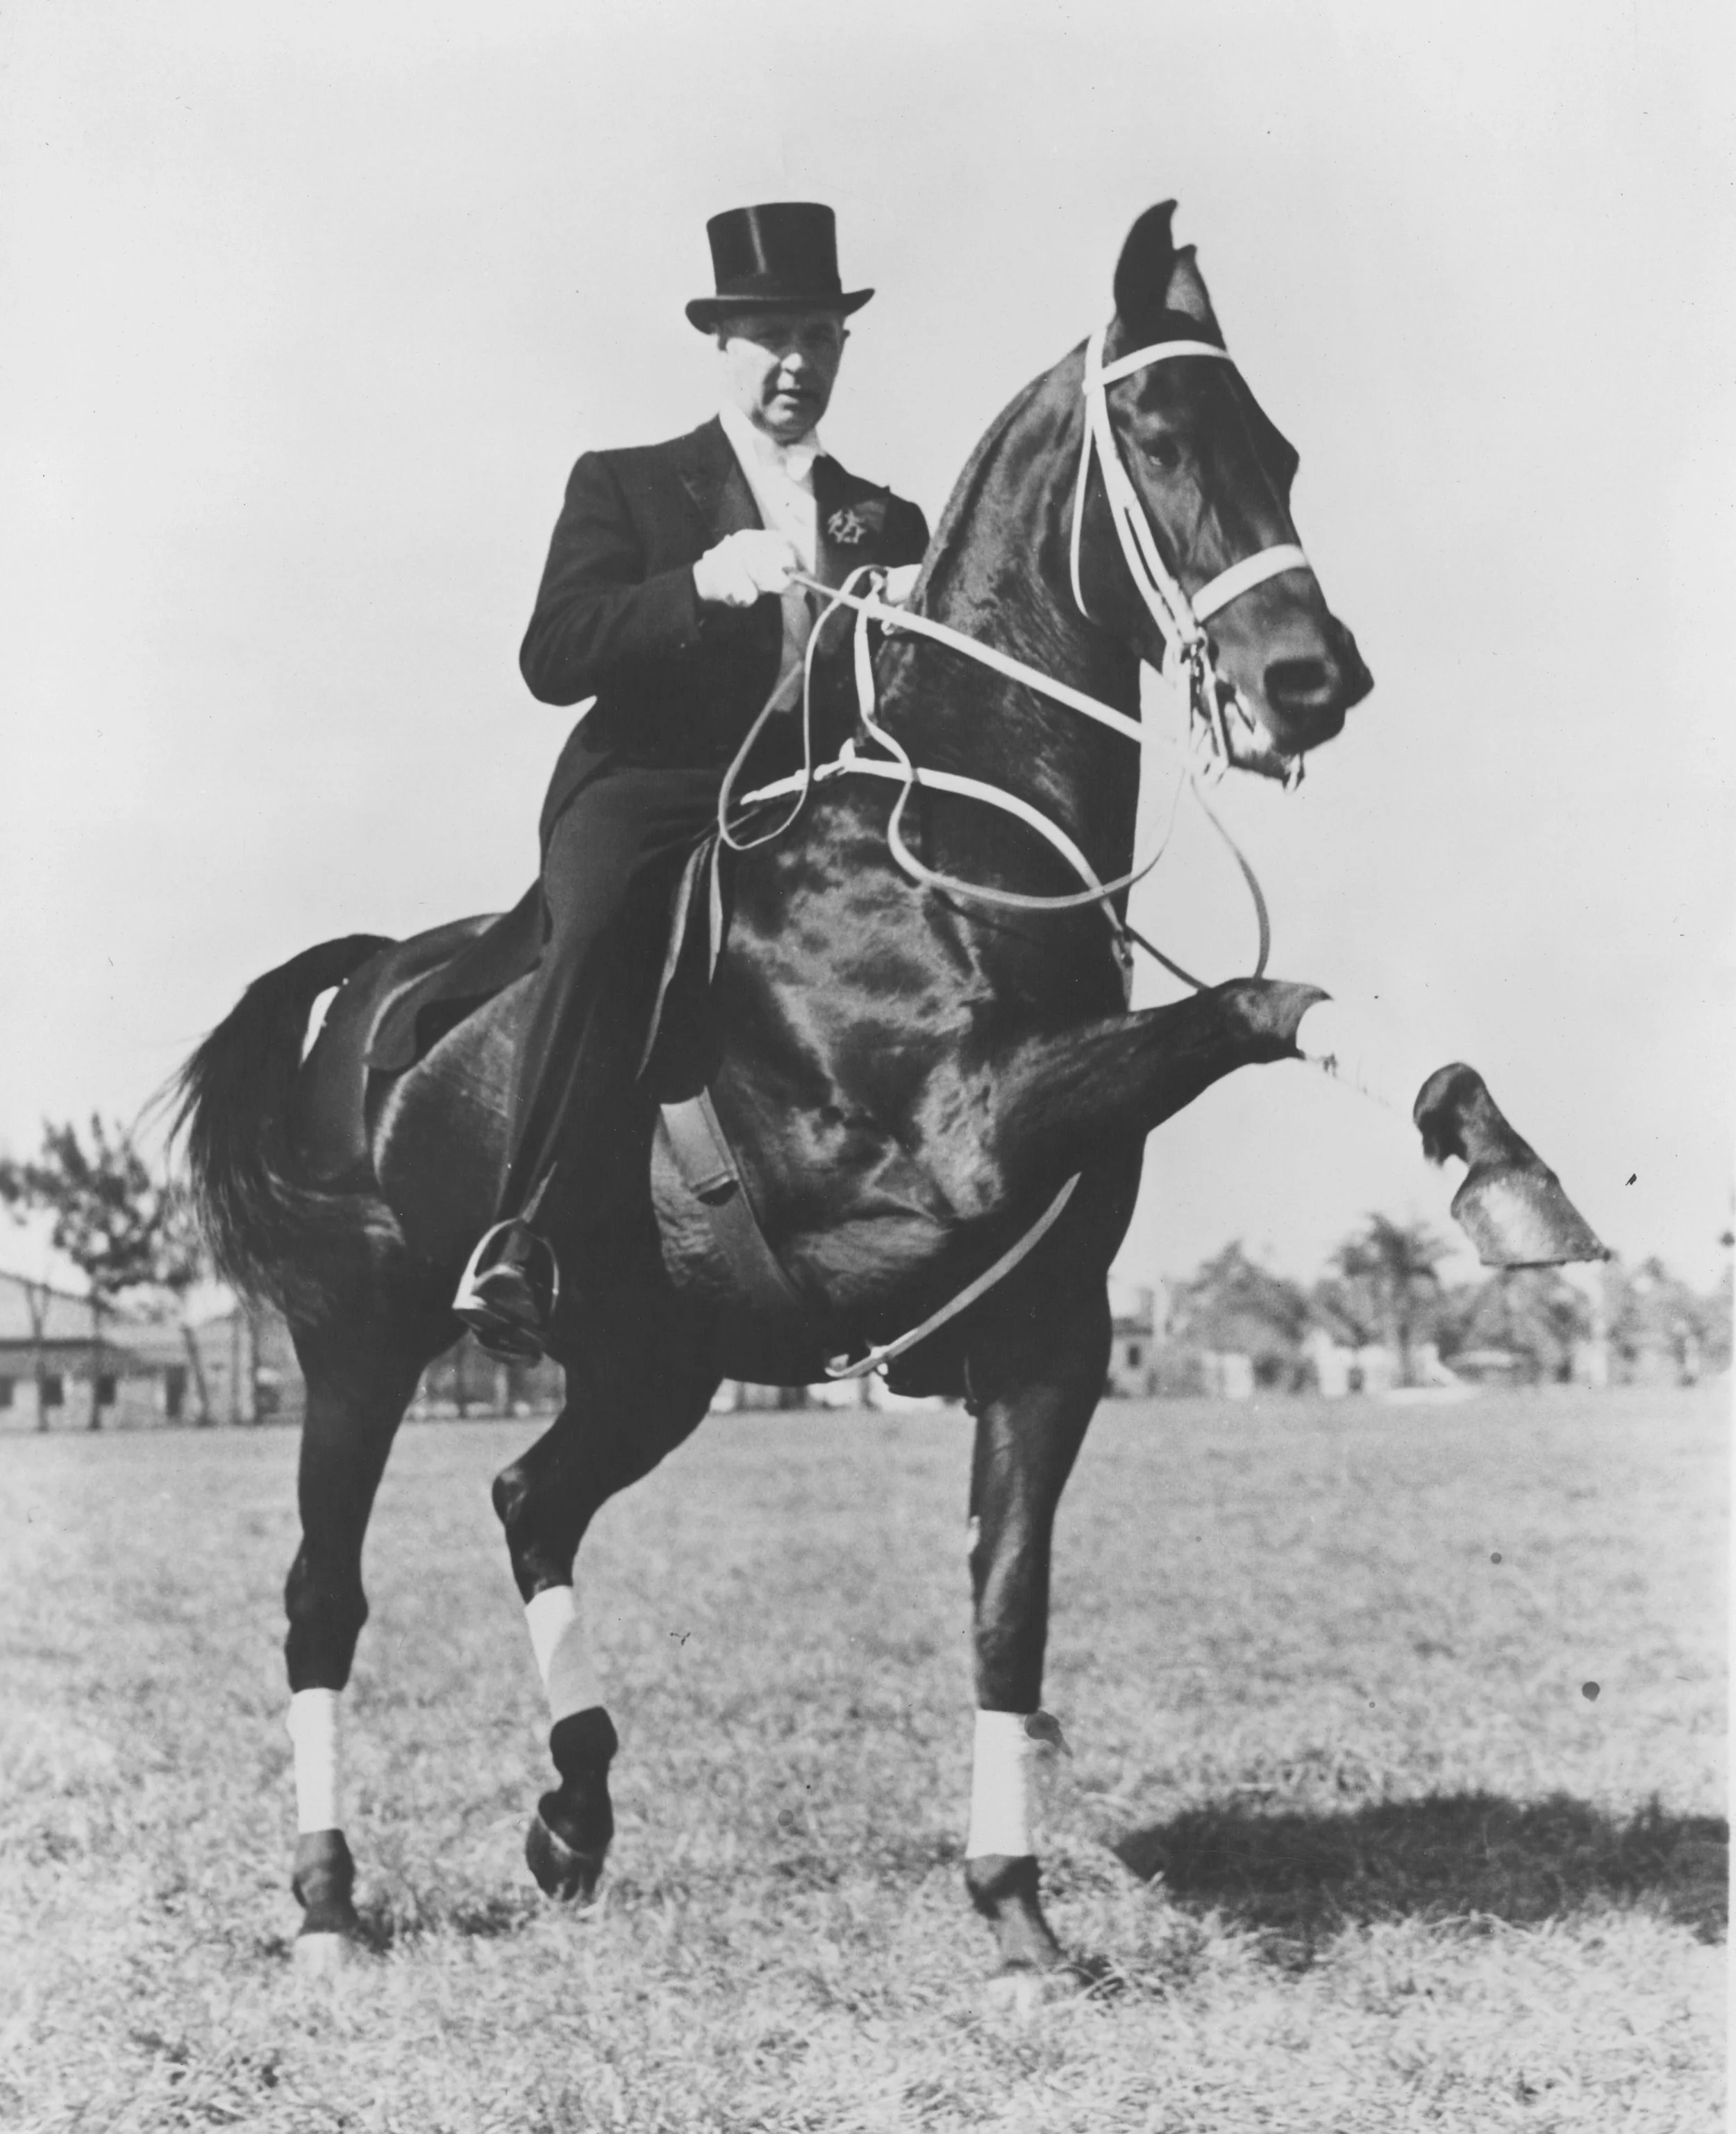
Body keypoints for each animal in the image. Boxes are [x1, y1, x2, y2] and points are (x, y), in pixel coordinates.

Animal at [175, 202, 1606, 1992]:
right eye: (1160, 440)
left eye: (1281, 450)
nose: (1310, 681)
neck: (948, 845)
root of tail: (370, 987)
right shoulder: (962, 1152)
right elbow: (1254, 1005)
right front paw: (1497, 1167)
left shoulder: (1049, 1336)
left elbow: (1008, 1602)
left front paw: (1014, 1903)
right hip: (360, 1347)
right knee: (325, 1595)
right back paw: (326, 1896)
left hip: (653, 1364)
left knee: (529, 1499)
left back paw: (574, 1816)